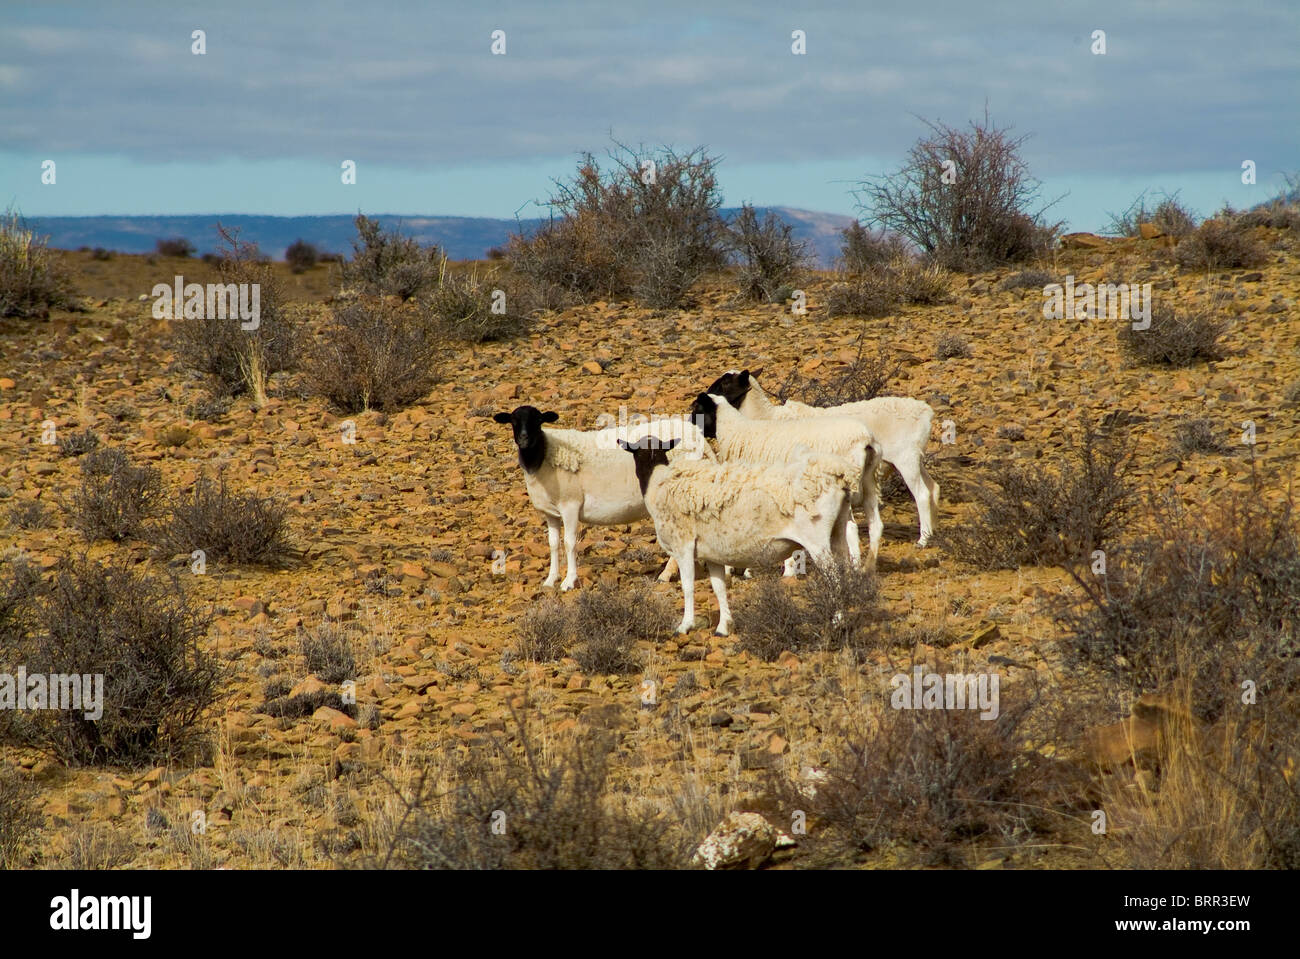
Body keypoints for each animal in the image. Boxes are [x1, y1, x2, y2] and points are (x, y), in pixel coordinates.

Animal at [492, 405, 714, 590]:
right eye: (513, 421)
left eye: (538, 420)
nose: (524, 439)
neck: (543, 456)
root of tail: (698, 438)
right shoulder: (551, 512)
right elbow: (553, 544)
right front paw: (550, 580)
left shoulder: (570, 505)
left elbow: (569, 542)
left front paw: (568, 581)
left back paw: (667, 574)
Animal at [618, 436, 856, 636]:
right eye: (639, 452)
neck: (658, 483)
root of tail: (838, 474)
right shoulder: (711, 554)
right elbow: (719, 588)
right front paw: (723, 627)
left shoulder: (683, 547)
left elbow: (687, 586)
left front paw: (685, 625)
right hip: (838, 530)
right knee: (845, 567)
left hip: (816, 538)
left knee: (834, 576)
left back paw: (838, 621)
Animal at [689, 392, 883, 570]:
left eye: (698, 407)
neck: (736, 430)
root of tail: (866, 440)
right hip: (868, 483)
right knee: (873, 525)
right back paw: (866, 568)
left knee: (849, 528)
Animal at [704, 369, 940, 546]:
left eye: (725, 383)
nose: (704, 394)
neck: (763, 418)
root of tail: (925, 411)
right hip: (915, 458)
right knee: (933, 488)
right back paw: (933, 532)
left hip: (906, 459)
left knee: (921, 494)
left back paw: (923, 540)